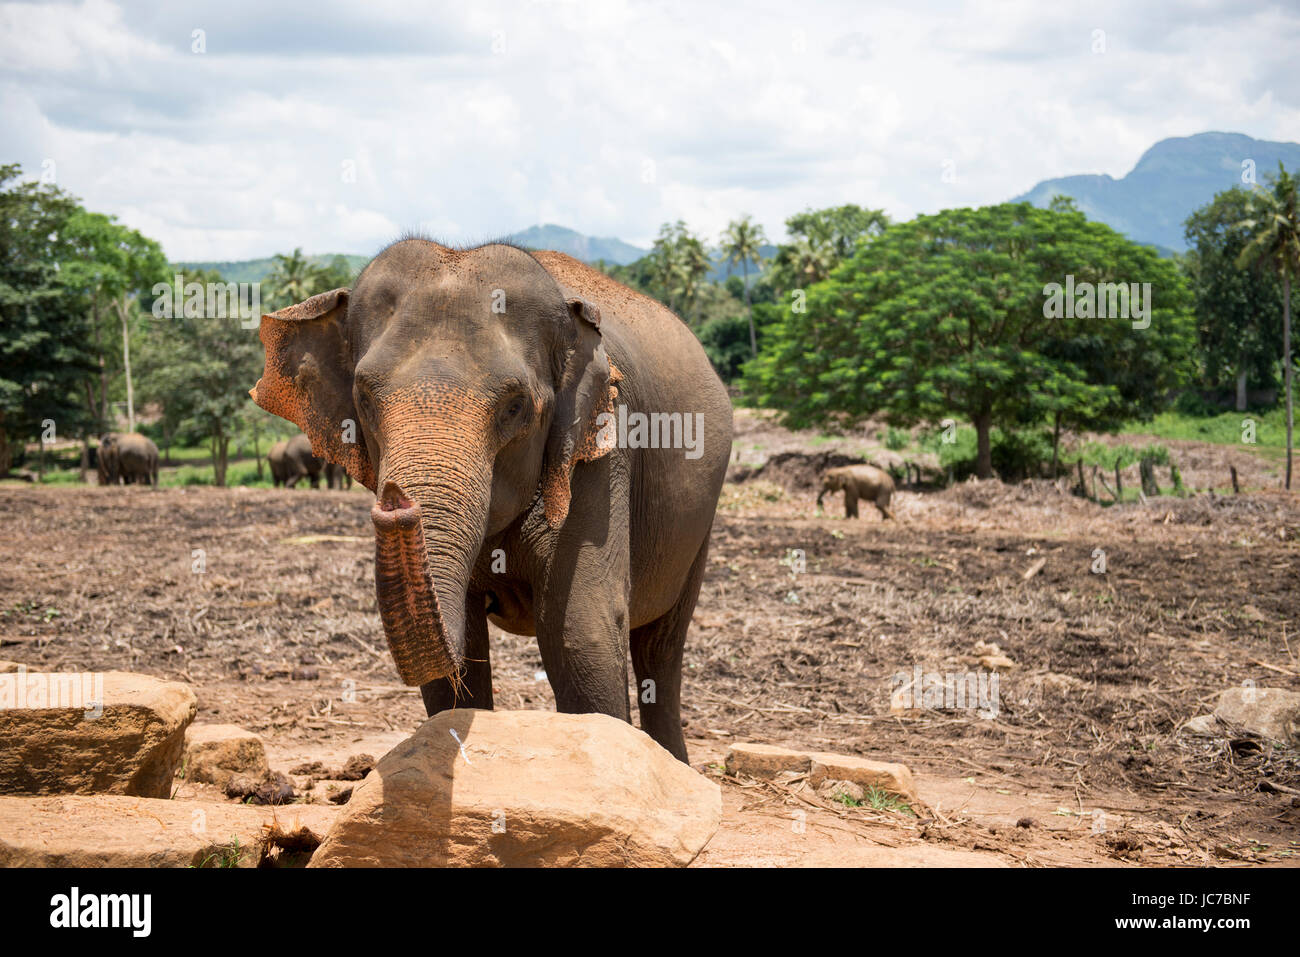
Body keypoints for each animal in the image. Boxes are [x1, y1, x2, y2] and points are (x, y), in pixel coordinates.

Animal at [250, 239, 732, 762]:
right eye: (363, 397)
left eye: (515, 406)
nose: (396, 500)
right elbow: (463, 642)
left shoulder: (604, 450)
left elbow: (580, 628)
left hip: (700, 520)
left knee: (661, 647)